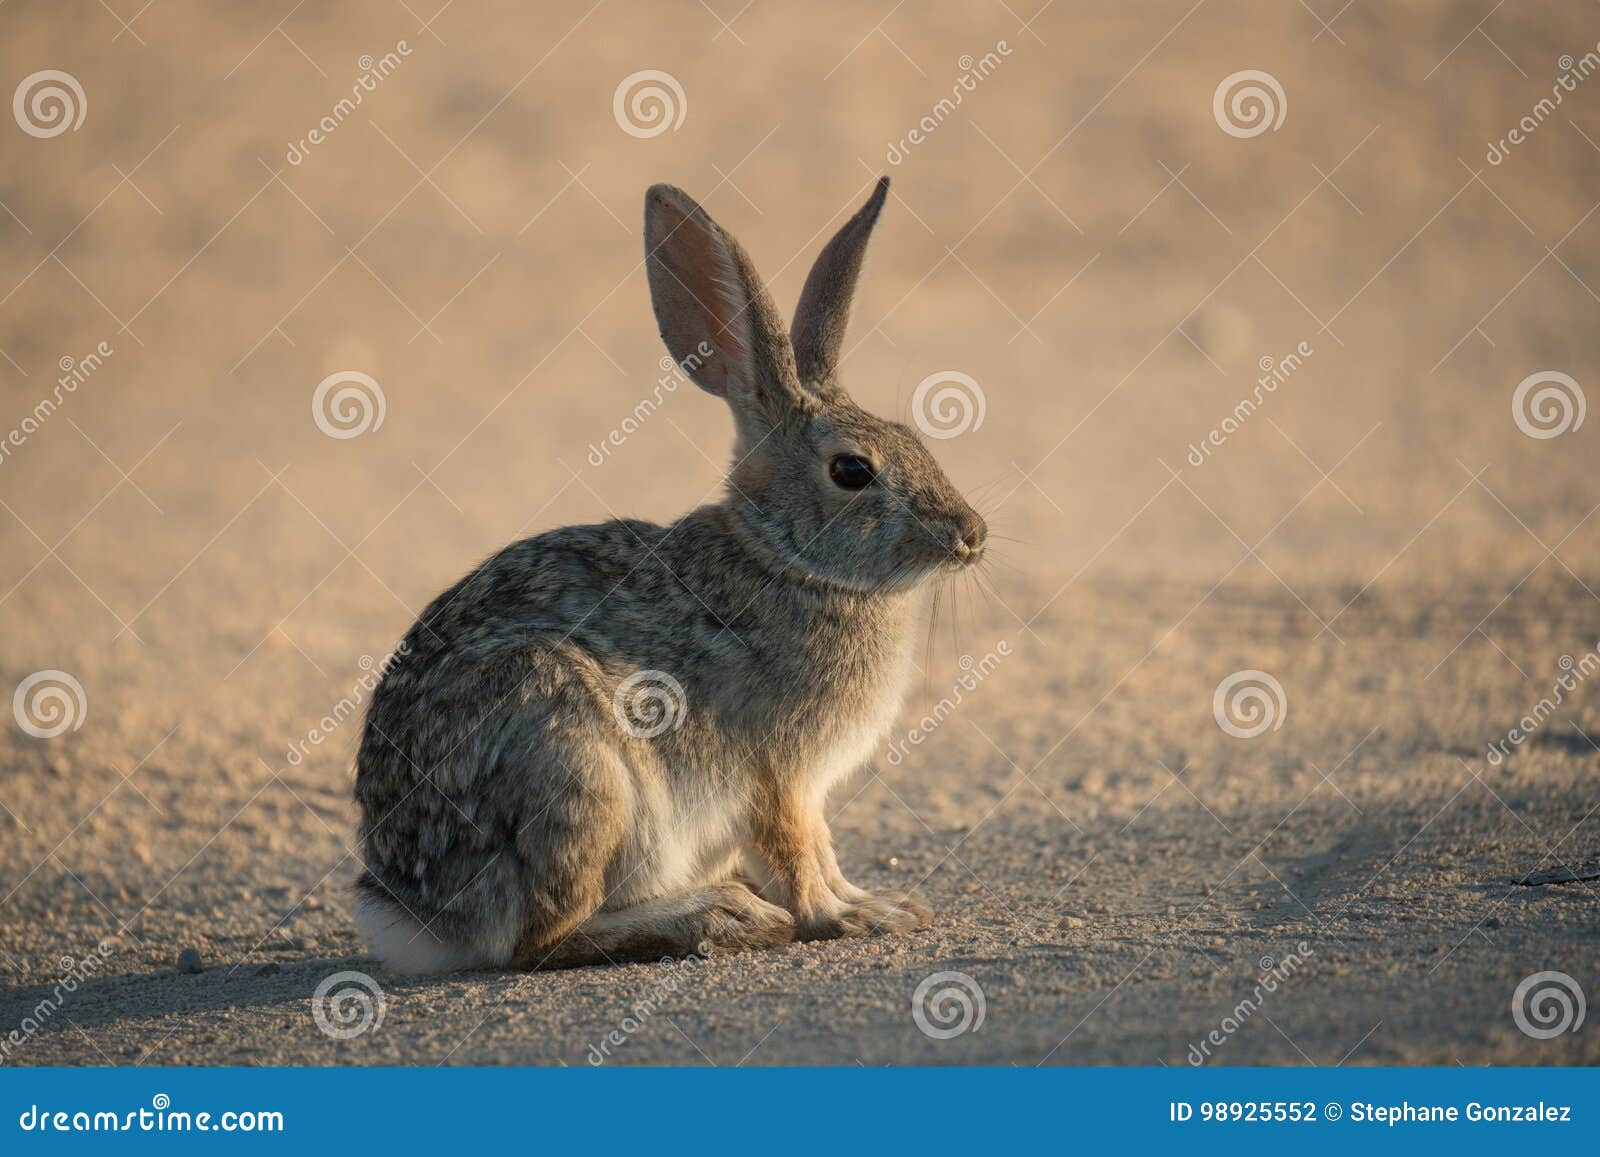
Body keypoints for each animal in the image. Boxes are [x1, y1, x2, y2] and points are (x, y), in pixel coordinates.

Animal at [353, 176, 988, 973]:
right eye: (852, 471)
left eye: (914, 438)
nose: (972, 535)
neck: (786, 558)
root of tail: (420, 914)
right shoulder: (777, 773)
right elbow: (798, 851)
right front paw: (846, 916)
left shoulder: (806, 787)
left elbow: (823, 846)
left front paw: (879, 902)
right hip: (573, 759)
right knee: (540, 938)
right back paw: (718, 916)